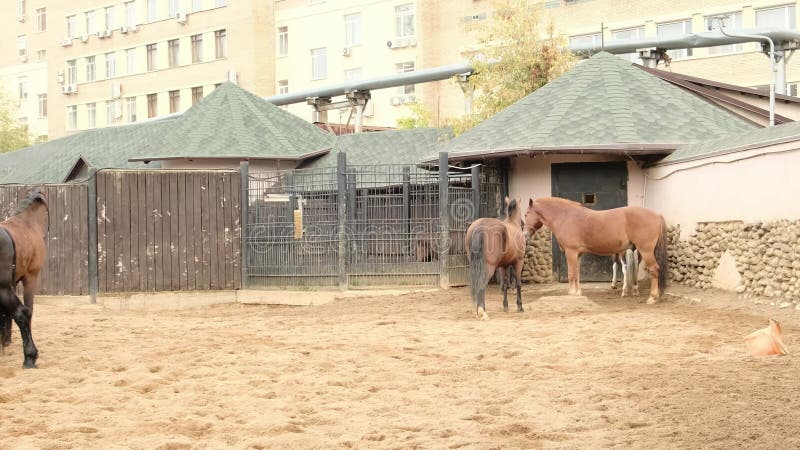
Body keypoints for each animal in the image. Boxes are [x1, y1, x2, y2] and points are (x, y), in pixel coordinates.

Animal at [0, 188, 49, 368]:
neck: (26, 223)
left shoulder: (13, 283)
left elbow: (4, 316)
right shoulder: (30, 277)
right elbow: (28, 311)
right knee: (21, 313)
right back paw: (29, 357)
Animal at [523, 197, 667, 304]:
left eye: (525, 214)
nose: (524, 235)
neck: (565, 217)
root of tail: (657, 215)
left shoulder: (571, 252)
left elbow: (571, 274)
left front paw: (571, 294)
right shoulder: (578, 254)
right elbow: (577, 274)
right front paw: (578, 294)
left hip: (646, 250)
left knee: (654, 269)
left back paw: (652, 297)